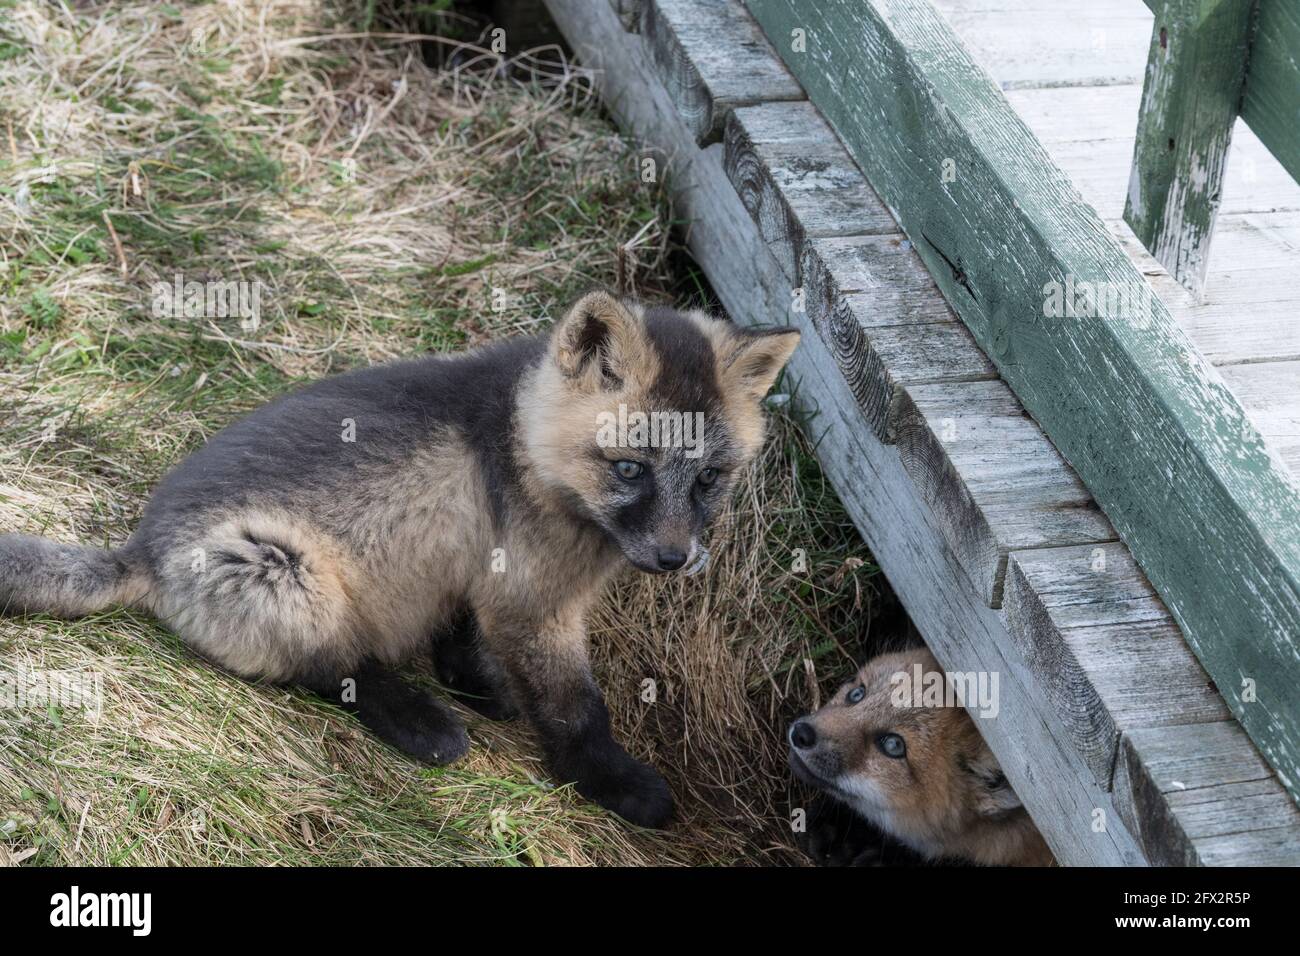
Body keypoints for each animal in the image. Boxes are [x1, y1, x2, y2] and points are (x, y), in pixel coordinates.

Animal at [0, 290, 799, 828]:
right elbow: (576, 710)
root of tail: (139, 550)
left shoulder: (481, 570)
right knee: (333, 669)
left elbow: (467, 635)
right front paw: (608, 782)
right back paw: (420, 722)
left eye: (709, 478)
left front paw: (473, 681)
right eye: (631, 468)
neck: (526, 448)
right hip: (284, 576)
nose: (674, 559)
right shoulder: (535, 603)